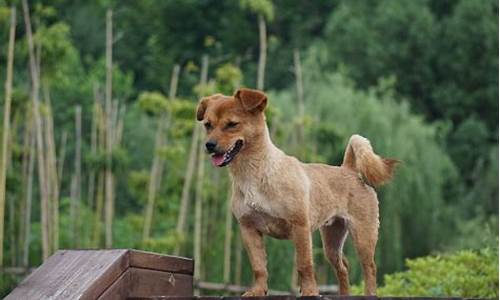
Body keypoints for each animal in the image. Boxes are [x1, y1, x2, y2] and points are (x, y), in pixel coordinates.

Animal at [196, 88, 398, 296]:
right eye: (208, 125)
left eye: (232, 124)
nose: (209, 145)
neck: (254, 173)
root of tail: (348, 169)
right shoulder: (248, 229)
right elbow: (259, 267)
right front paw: (257, 291)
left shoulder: (300, 227)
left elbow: (304, 265)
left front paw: (309, 291)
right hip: (332, 240)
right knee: (343, 267)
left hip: (364, 236)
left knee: (370, 268)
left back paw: (370, 293)